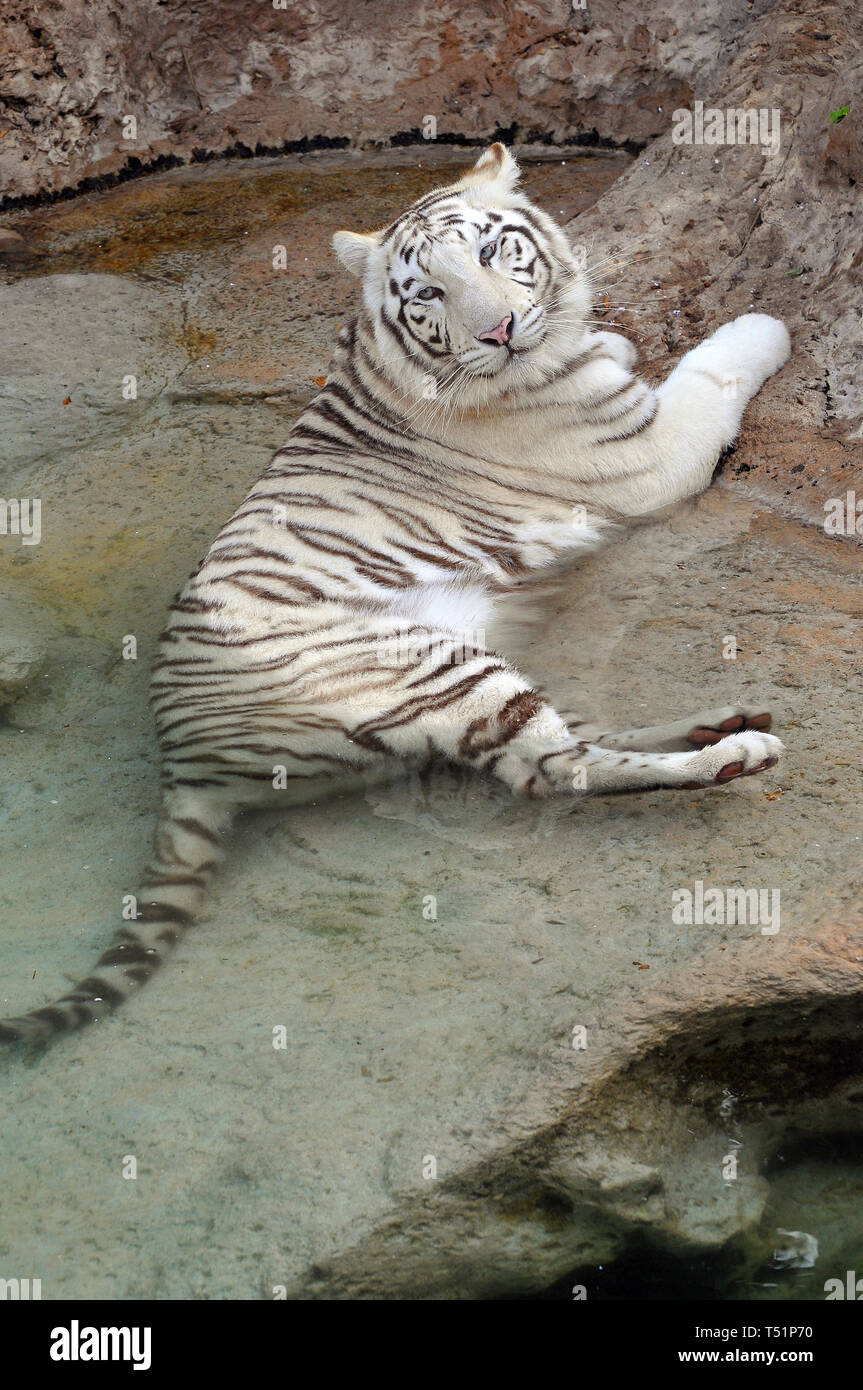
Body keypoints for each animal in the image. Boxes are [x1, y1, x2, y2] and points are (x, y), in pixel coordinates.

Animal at [0, 142, 791, 1045]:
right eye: (428, 295)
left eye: (490, 251)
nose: (500, 331)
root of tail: (183, 760)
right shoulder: (650, 451)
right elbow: (712, 368)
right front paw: (766, 324)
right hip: (435, 666)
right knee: (553, 770)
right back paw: (731, 756)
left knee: (572, 739)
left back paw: (720, 721)